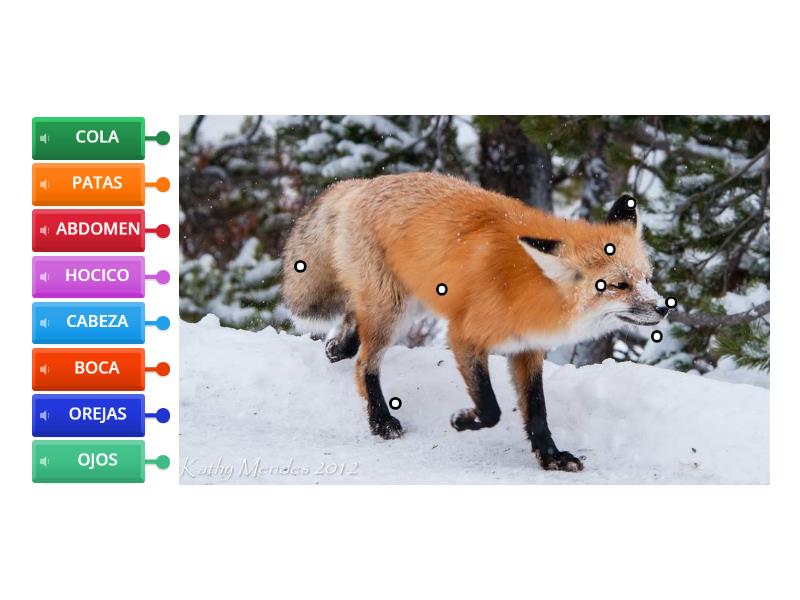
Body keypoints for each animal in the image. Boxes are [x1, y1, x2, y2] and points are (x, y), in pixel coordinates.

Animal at [282, 172, 668, 472]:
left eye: (647, 278)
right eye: (618, 285)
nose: (663, 308)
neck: (525, 284)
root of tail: (361, 184)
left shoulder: (528, 348)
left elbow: (537, 411)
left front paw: (550, 457)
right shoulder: (464, 335)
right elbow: (491, 408)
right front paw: (464, 421)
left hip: (408, 303)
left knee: (353, 318)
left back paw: (338, 348)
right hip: (393, 311)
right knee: (365, 364)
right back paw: (380, 419)